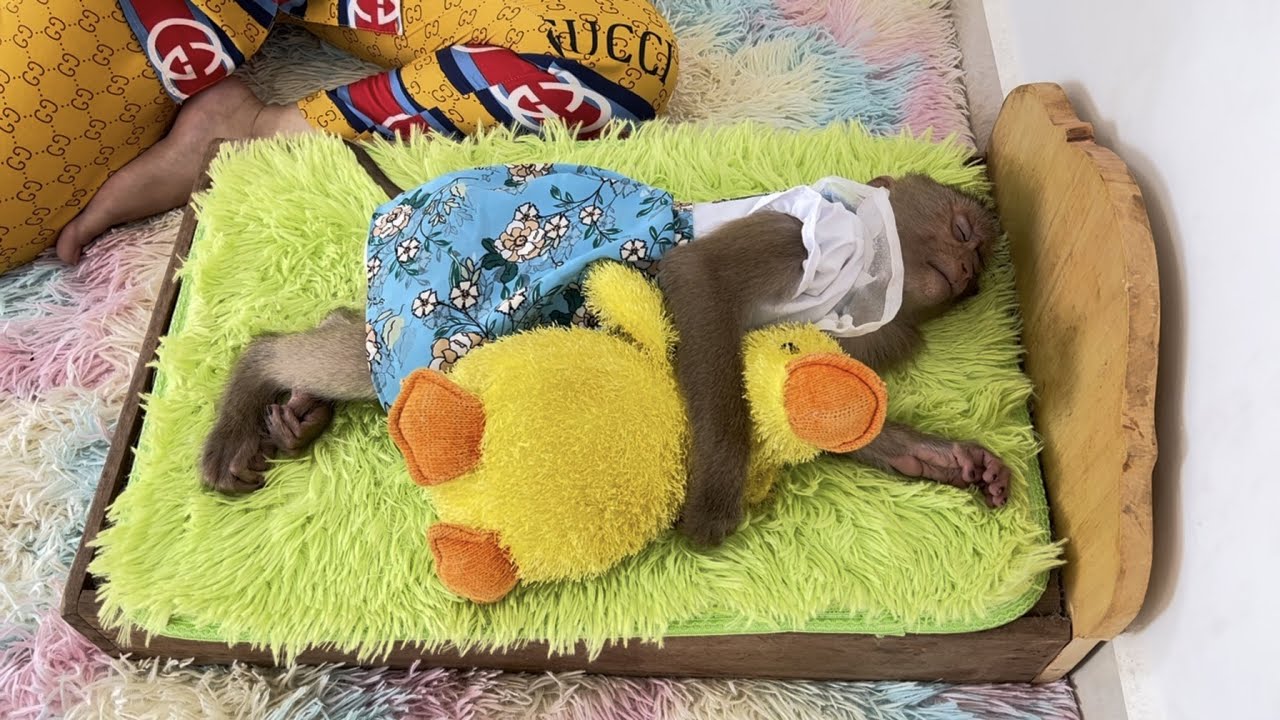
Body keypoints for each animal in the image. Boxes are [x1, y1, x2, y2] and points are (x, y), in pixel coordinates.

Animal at [200, 171, 1009, 548]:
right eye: (962, 229)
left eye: (974, 276)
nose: (966, 271)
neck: (865, 278)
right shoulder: (798, 236)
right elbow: (694, 282)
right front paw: (713, 499)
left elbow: (819, 407)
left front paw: (946, 459)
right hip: (424, 315)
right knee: (350, 350)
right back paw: (254, 387)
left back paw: (297, 414)